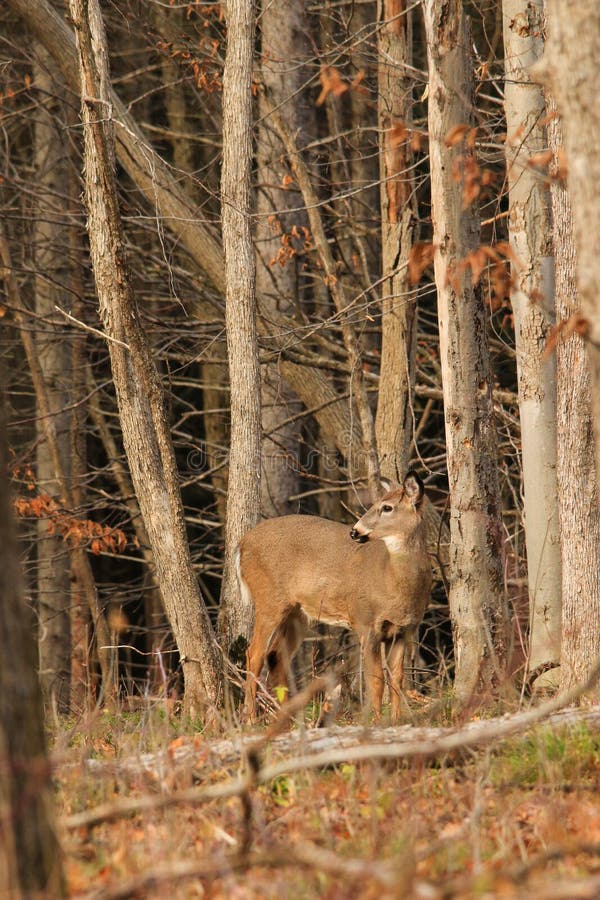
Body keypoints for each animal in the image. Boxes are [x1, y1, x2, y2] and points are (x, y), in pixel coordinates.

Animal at [237, 471, 432, 723]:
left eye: (387, 507)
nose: (355, 531)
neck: (394, 583)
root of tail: (241, 544)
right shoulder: (365, 621)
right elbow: (376, 680)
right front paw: (376, 722)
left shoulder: (403, 630)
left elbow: (397, 680)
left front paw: (396, 720)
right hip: (268, 600)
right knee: (254, 654)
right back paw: (251, 718)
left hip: (298, 613)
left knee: (275, 656)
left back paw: (288, 719)